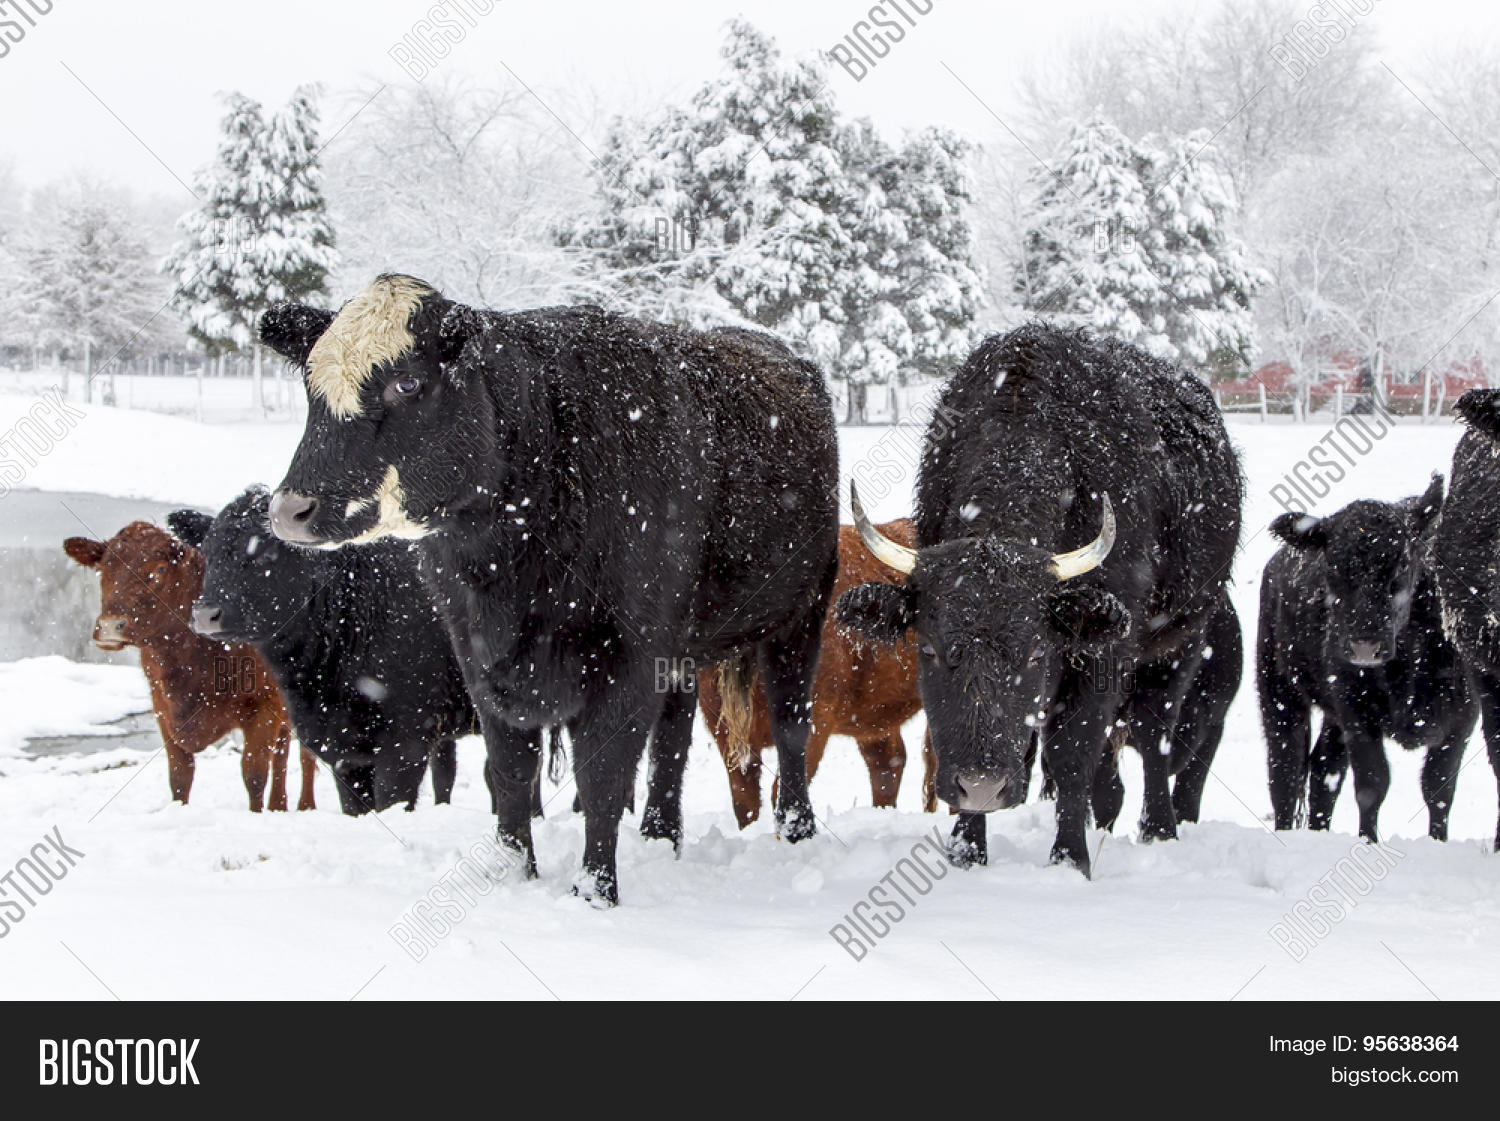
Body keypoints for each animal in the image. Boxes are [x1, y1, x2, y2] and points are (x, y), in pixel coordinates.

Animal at [63, 521, 315, 812]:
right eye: (104, 567)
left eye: (160, 569)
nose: (110, 626)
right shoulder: (163, 707)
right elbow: (180, 775)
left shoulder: (263, 705)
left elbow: (254, 773)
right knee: (283, 750)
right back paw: (278, 806)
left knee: (305, 754)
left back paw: (306, 805)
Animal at [258, 275, 839, 905]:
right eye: (310, 384)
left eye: (406, 381)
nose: (290, 510)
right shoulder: (479, 658)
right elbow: (511, 773)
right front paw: (514, 873)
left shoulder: (627, 656)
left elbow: (602, 777)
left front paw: (595, 893)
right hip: (682, 646)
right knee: (673, 738)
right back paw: (661, 837)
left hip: (802, 613)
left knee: (790, 723)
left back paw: (796, 830)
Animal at [836, 323, 1242, 876]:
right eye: (930, 650)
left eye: (1033, 653)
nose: (981, 786)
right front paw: (968, 852)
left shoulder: (1102, 654)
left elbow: (1073, 753)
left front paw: (1071, 860)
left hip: (1181, 643)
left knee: (1152, 735)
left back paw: (1157, 828)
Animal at [1257, 476, 1476, 842]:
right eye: (1332, 567)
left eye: (1402, 563)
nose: (1364, 647)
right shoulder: (1356, 711)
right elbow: (1372, 784)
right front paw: (1368, 842)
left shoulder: (1462, 718)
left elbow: (1439, 788)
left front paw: (1437, 841)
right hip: (1278, 690)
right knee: (1285, 771)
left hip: (1330, 717)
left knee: (1323, 771)